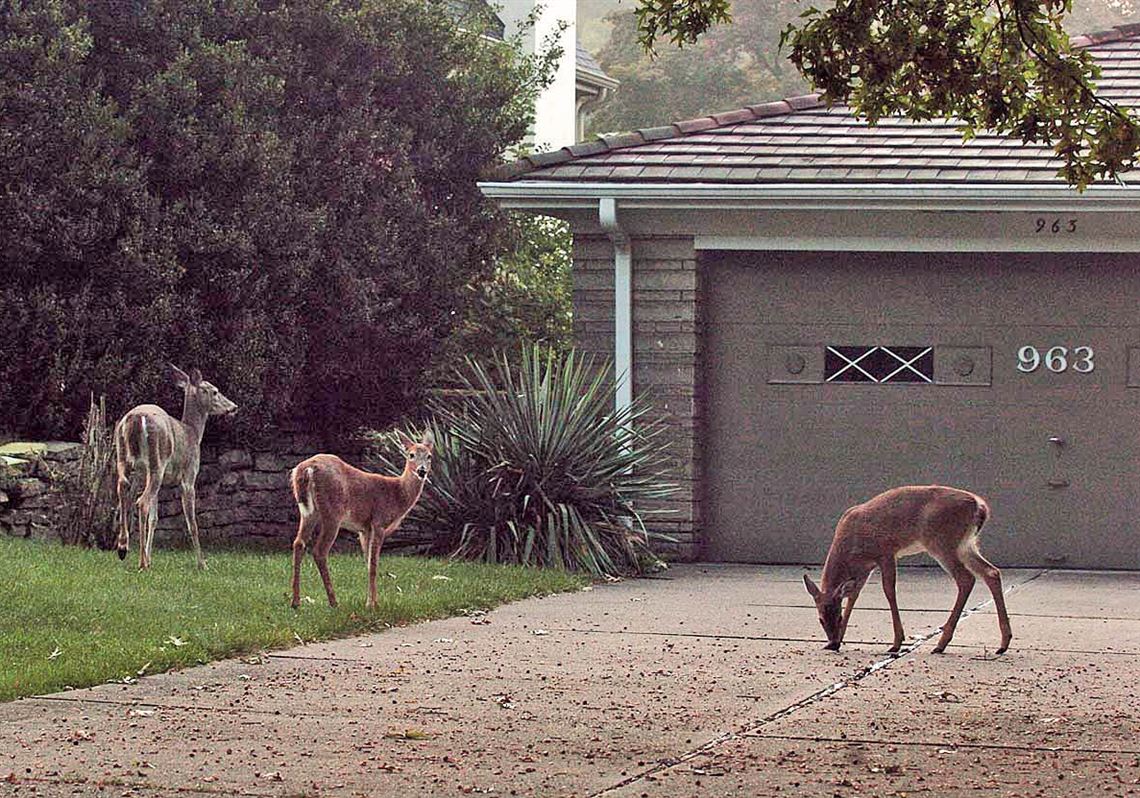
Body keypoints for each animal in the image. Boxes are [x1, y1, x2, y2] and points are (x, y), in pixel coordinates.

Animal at [113, 365, 237, 570]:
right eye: (214, 391)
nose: (234, 407)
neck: (193, 433)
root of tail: (137, 417)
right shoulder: (189, 476)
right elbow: (192, 522)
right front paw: (202, 564)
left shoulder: (153, 479)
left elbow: (154, 519)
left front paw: (150, 557)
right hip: (157, 462)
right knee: (141, 502)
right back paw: (141, 562)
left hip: (124, 458)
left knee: (123, 488)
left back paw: (124, 548)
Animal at [290, 429, 433, 610]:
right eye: (411, 454)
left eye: (429, 456)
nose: (422, 471)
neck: (397, 495)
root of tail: (306, 468)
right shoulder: (378, 522)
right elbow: (373, 565)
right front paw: (372, 605)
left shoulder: (364, 529)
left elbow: (367, 562)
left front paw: (372, 600)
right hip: (332, 511)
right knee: (319, 551)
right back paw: (333, 601)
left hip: (309, 512)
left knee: (298, 543)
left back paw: (295, 602)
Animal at [803, 485, 1012, 655]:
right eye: (821, 619)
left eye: (837, 616)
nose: (832, 641)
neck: (851, 547)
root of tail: (980, 506)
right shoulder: (865, 569)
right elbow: (854, 596)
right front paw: (837, 642)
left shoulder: (886, 552)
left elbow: (889, 590)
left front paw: (896, 642)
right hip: (966, 544)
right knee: (991, 572)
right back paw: (1003, 643)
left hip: (942, 542)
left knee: (966, 578)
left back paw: (941, 644)